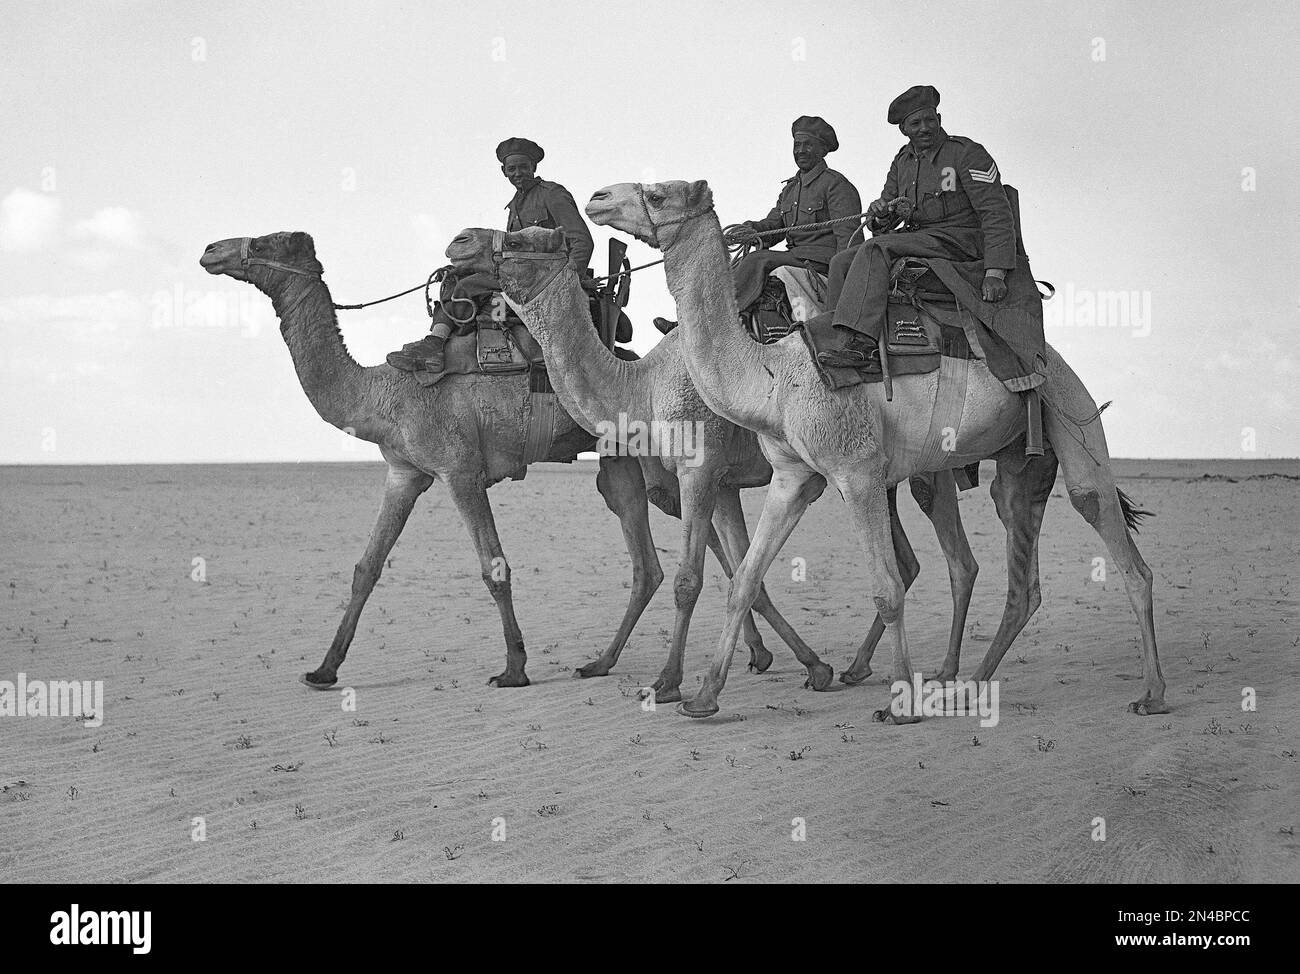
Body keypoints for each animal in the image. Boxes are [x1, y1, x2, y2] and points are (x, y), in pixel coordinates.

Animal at [199, 230, 700, 690]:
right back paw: (602, 663)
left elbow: (494, 568)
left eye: (272, 242)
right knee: (646, 561)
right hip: (620, 460)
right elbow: (366, 568)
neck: (381, 393)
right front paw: (323, 670)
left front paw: (514, 669)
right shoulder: (404, 472)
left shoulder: (459, 470)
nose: (210, 250)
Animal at [445, 225, 987, 701]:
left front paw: (670, 683)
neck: (644, 386)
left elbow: (692, 579)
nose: (460, 242)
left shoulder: (700, 468)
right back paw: (864, 667)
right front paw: (804, 666)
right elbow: (745, 573)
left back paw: (933, 670)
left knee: (942, 553)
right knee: (921, 559)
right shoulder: (722, 482)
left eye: (519, 238)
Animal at [586, 181, 1166, 720]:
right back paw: (969, 687)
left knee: (1108, 528)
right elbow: (745, 579)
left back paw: (1151, 694)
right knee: (1021, 573)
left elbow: (887, 589)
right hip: (1019, 459)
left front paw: (899, 703)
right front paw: (703, 697)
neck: (773, 374)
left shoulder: (856, 470)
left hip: (1070, 407)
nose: (597, 198)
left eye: (657, 195)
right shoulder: (792, 475)